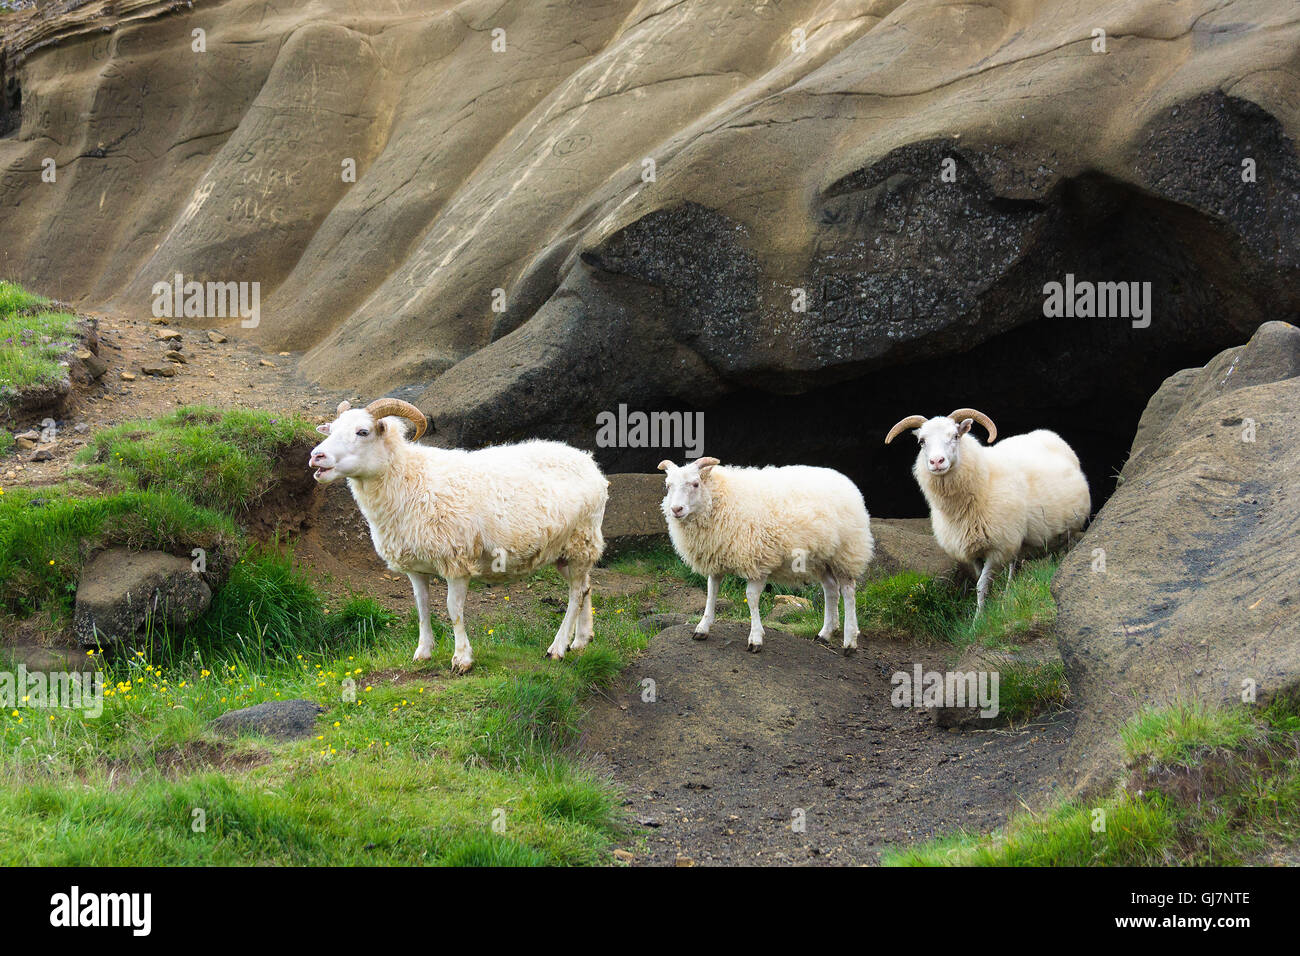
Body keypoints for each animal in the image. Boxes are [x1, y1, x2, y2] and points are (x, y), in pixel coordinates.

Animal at [309, 399, 608, 674]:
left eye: (362, 431)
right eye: (331, 429)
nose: (316, 456)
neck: (410, 479)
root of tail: (588, 461)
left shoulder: (456, 562)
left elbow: (454, 610)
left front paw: (462, 659)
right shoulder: (416, 567)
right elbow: (422, 607)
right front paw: (423, 652)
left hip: (581, 540)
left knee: (576, 594)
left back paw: (557, 648)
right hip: (563, 551)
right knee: (585, 587)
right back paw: (581, 640)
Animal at [658, 456, 875, 654]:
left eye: (695, 483)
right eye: (668, 486)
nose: (676, 509)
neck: (722, 498)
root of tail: (845, 481)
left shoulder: (758, 560)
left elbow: (752, 597)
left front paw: (755, 638)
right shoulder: (716, 556)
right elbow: (712, 592)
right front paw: (702, 628)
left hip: (847, 551)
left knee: (848, 591)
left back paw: (850, 641)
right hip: (821, 558)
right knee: (831, 589)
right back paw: (825, 633)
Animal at [884, 408, 1090, 614]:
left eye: (956, 436)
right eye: (922, 441)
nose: (936, 461)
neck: (984, 481)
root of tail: (1047, 434)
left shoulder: (997, 547)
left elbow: (982, 584)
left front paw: (979, 617)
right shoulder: (974, 550)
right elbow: (978, 583)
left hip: (1065, 529)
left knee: (1059, 551)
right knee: (1015, 564)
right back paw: (1009, 593)